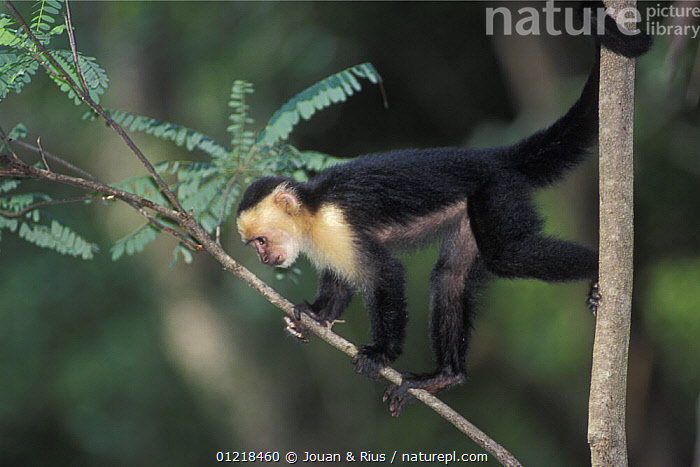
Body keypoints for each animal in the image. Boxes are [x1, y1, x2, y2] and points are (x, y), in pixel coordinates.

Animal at [236, 9, 651, 416]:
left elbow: (385, 274)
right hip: (473, 211)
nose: (262, 257)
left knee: (507, 256)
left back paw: (601, 267)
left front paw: (381, 353)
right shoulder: (321, 238)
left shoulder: (336, 223)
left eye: (260, 240)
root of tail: (494, 157)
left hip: (496, 192)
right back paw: (445, 375)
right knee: (450, 276)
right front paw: (313, 315)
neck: (312, 208)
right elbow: (339, 285)